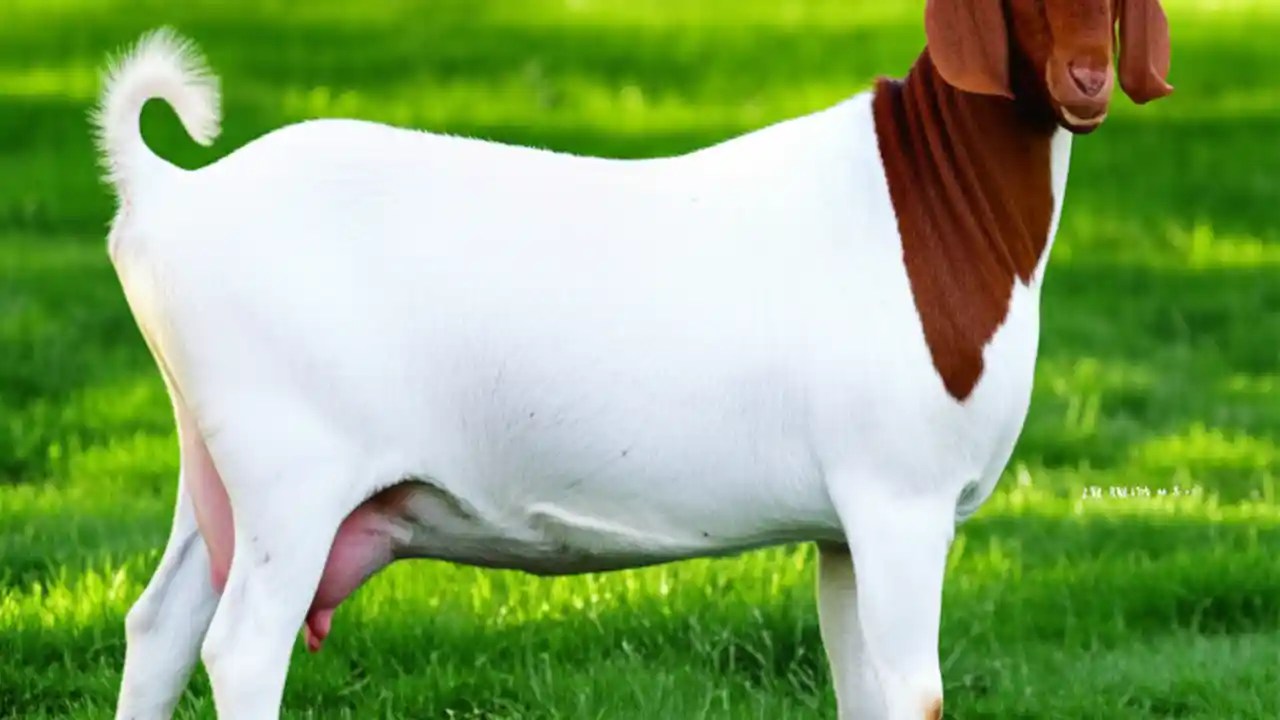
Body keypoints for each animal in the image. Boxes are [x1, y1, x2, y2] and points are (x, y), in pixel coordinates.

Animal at [102, 1, 1172, 718]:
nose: (1086, 80)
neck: (932, 201)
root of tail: (167, 191)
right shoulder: (901, 502)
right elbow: (918, 694)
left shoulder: (844, 527)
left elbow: (864, 691)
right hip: (294, 475)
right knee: (244, 645)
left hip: (216, 469)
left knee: (160, 627)